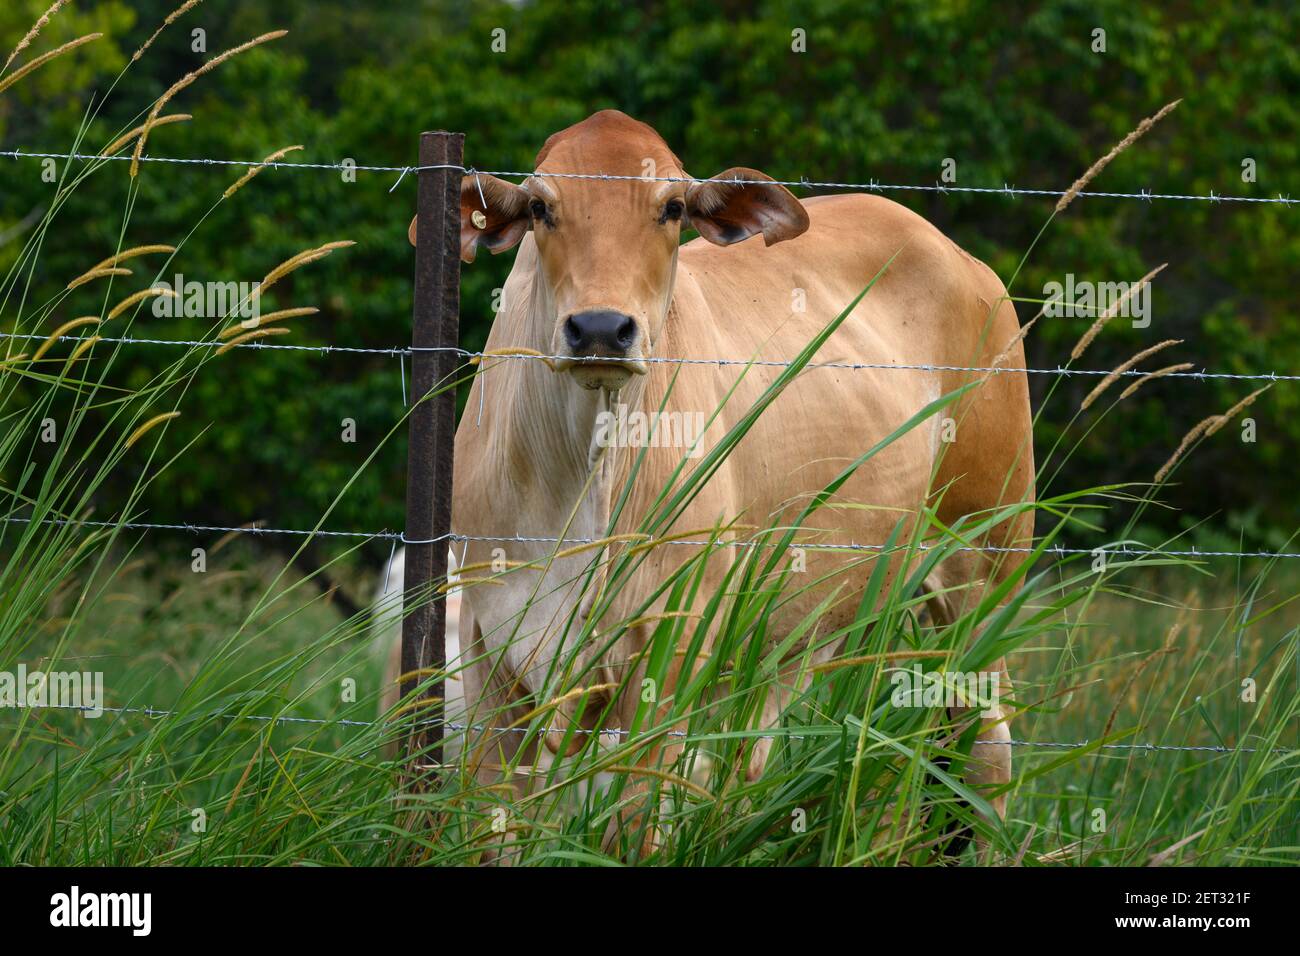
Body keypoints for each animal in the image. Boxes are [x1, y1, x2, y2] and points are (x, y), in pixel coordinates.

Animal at [408, 110, 1036, 858]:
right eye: (538, 206)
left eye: (673, 207)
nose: (600, 329)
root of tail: (959, 257)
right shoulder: (489, 650)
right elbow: (498, 823)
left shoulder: (670, 648)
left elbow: (636, 823)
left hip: (983, 561)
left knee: (986, 745)